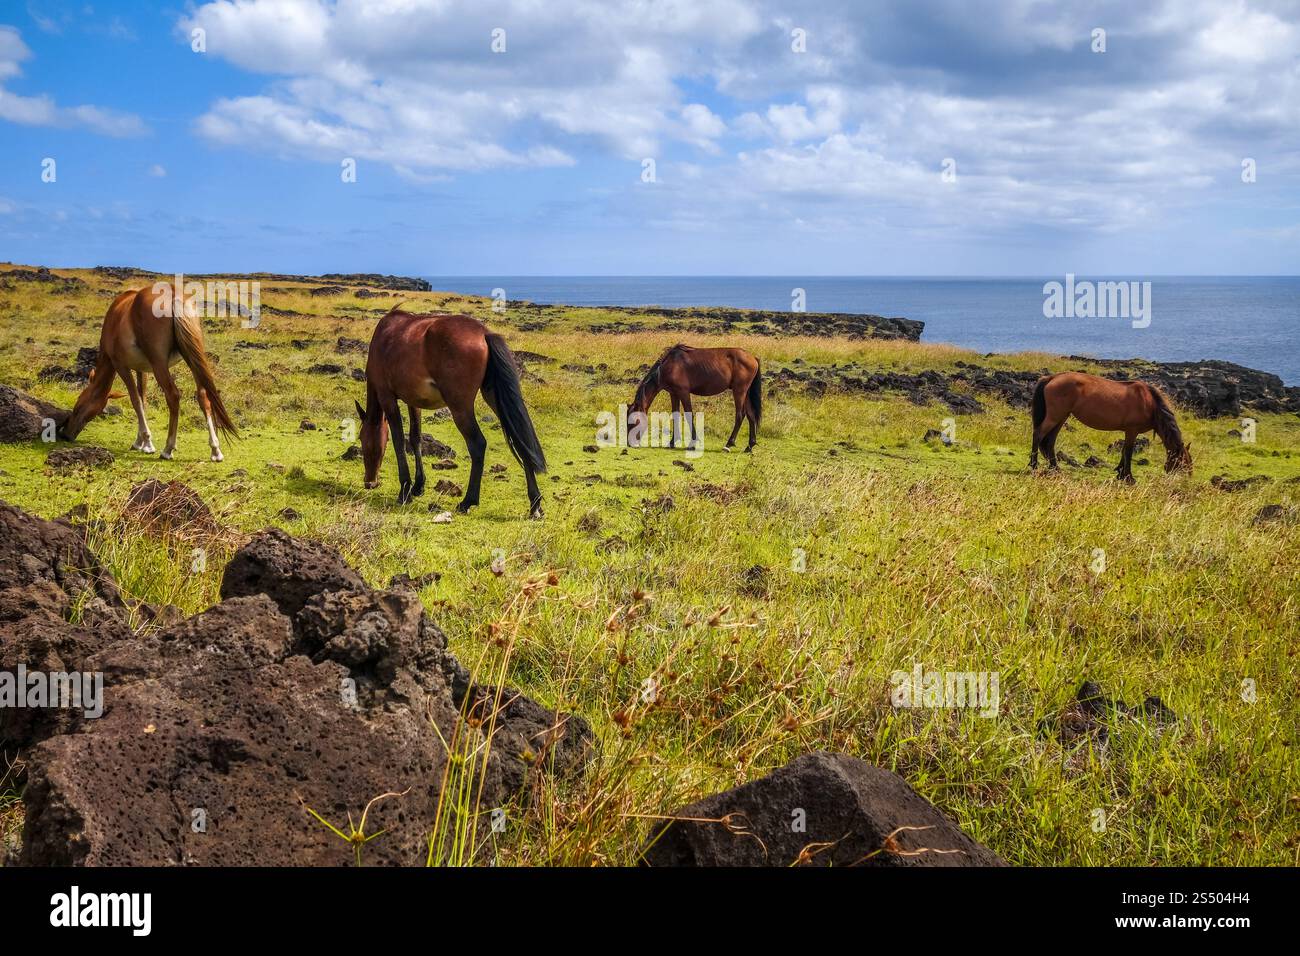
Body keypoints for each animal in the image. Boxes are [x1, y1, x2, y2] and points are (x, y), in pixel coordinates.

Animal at [60, 283, 236, 461]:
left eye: (79, 403)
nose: (66, 434)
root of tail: (173, 293)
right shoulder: (141, 370)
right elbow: (143, 400)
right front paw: (140, 441)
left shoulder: (121, 366)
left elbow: (136, 400)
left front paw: (147, 442)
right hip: (193, 359)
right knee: (203, 397)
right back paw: (215, 449)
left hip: (160, 364)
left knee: (173, 396)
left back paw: (168, 449)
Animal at [357, 309, 546, 517]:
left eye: (361, 439)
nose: (369, 482)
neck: (384, 337)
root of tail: (484, 333)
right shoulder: (413, 401)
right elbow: (415, 438)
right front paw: (418, 486)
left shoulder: (387, 397)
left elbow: (399, 441)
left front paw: (405, 491)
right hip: (494, 396)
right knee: (522, 442)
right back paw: (535, 504)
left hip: (459, 407)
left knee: (478, 444)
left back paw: (467, 502)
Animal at [627, 344, 762, 452]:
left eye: (634, 421)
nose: (630, 444)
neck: (669, 365)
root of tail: (753, 358)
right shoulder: (674, 393)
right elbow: (675, 414)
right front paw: (672, 442)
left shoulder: (683, 392)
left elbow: (688, 414)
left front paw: (692, 443)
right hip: (745, 393)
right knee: (751, 415)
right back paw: (749, 446)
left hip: (739, 391)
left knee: (740, 415)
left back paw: (728, 444)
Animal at [1030, 371, 1192, 482]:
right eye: (1183, 463)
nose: (1186, 479)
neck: (1149, 403)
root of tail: (1052, 378)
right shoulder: (1132, 431)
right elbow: (1128, 452)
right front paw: (1128, 477)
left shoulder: (1128, 431)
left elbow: (1124, 451)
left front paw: (1120, 472)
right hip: (1055, 416)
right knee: (1038, 434)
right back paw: (1033, 465)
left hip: (1061, 417)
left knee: (1050, 441)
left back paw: (1055, 467)